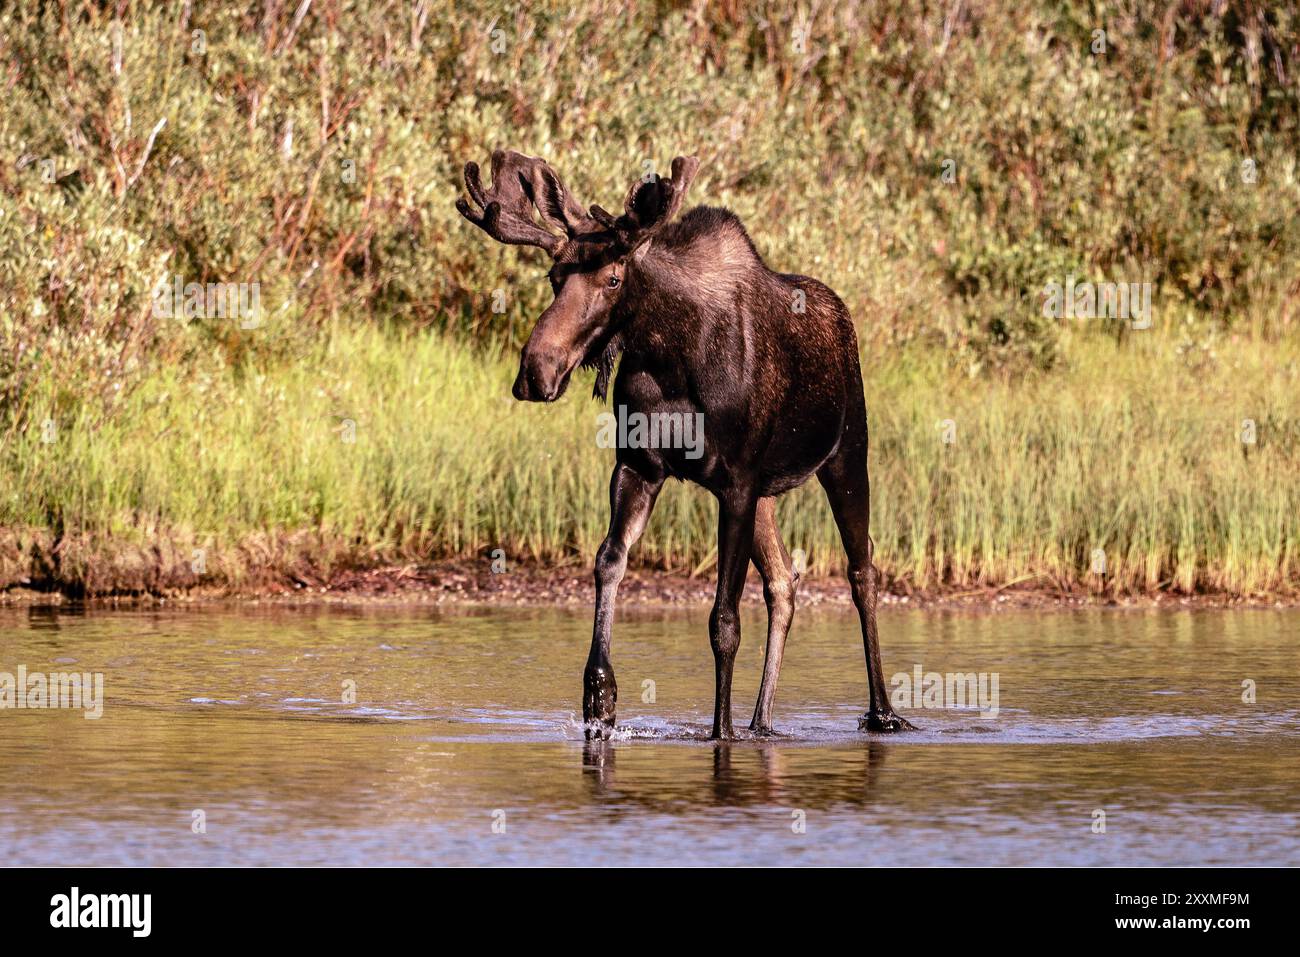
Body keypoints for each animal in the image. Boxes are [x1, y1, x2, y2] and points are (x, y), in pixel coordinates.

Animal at [456, 150, 915, 740]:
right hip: (768, 495)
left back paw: (882, 712)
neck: (669, 357)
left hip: (847, 452)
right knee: (784, 581)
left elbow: (724, 618)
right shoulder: (639, 466)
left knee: (862, 572)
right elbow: (609, 562)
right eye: (554, 276)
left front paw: (719, 730)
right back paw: (761, 721)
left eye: (613, 278)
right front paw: (599, 693)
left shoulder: (737, 483)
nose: (536, 372)